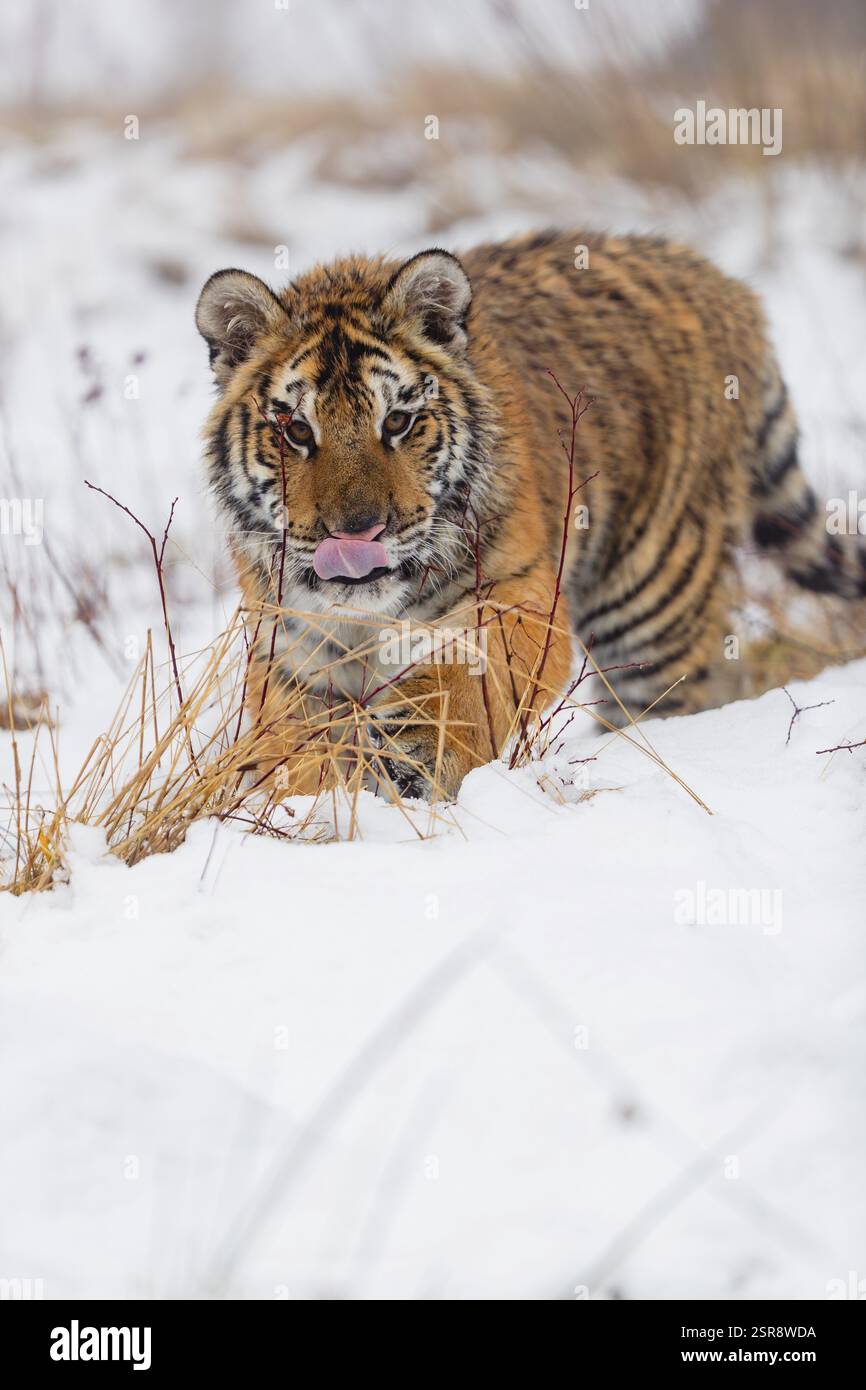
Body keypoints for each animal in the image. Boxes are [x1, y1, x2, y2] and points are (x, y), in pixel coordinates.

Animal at [195, 230, 865, 800]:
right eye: (296, 431)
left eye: (398, 422)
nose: (358, 532)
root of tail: (723, 282)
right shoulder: (288, 641)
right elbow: (288, 737)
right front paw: (302, 802)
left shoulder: (518, 594)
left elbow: (467, 676)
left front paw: (416, 745)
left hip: (655, 601)